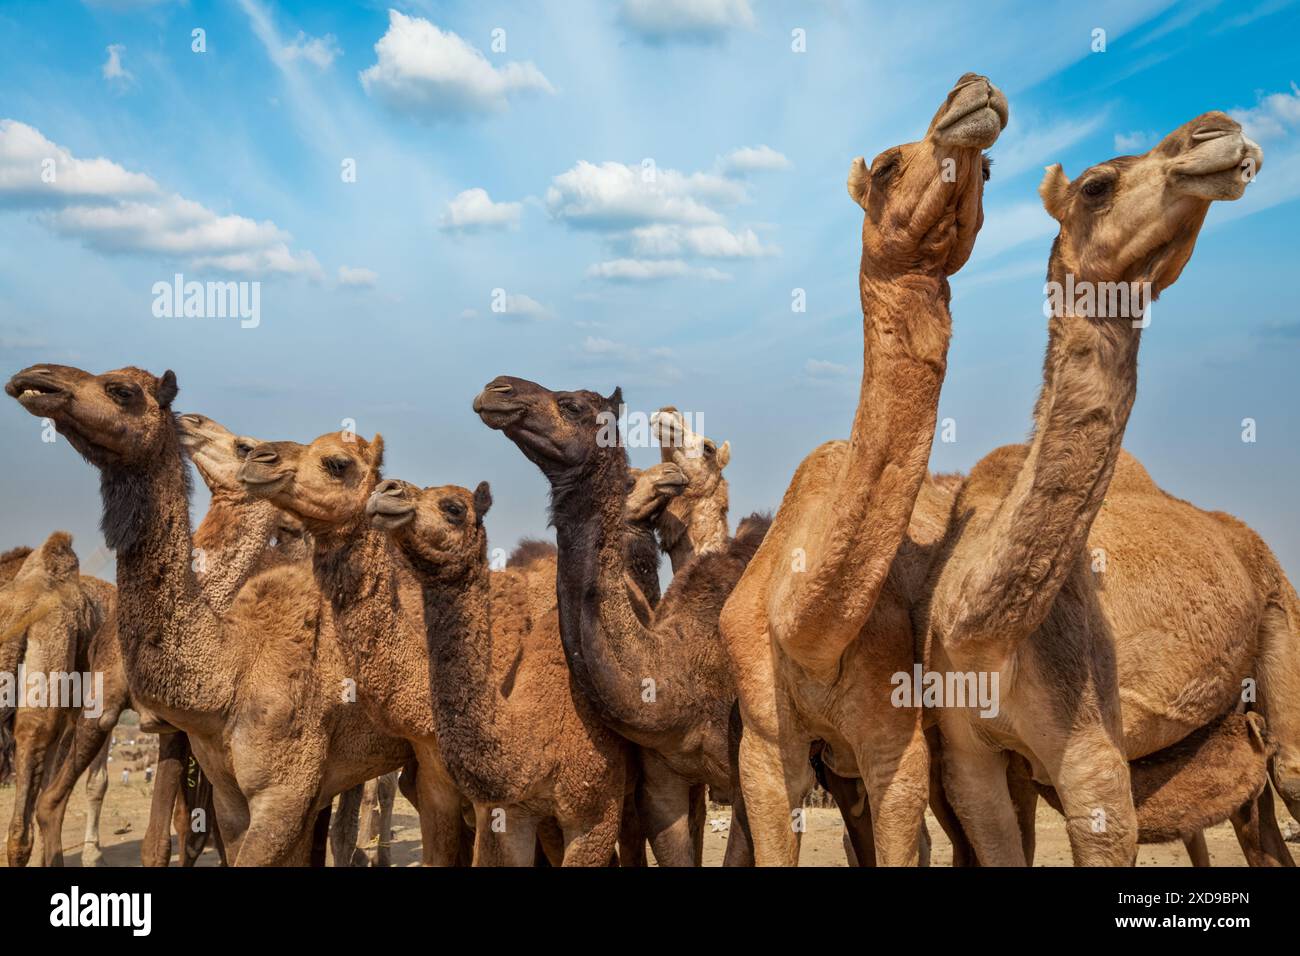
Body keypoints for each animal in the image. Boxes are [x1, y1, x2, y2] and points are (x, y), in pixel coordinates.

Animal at [5, 365, 414, 865]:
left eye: (121, 391)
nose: (36, 378)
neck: (232, 659)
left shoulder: (280, 783)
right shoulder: (186, 743)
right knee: (47, 782)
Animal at [715, 73, 1008, 866]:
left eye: (993, 173)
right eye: (883, 167)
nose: (974, 92)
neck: (804, 627)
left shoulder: (895, 743)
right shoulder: (766, 742)